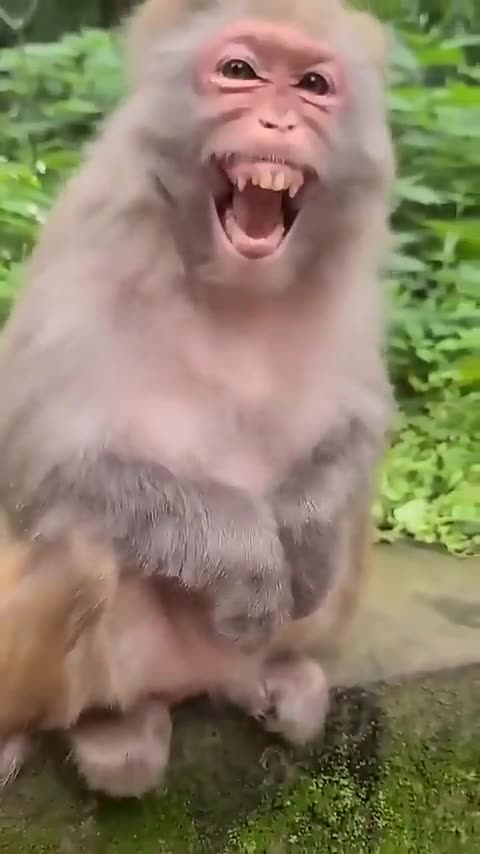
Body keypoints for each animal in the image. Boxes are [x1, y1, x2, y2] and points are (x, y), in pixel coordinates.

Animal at [0, 0, 395, 797]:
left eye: (313, 84)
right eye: (239, 71)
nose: (278, 121)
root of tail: (197, 680)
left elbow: (360, 419)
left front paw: (305, 537)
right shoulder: (97, 221)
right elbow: (37, 451)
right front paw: (249, 558)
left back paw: (283, 673)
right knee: (81, 543)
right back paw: (108, 728)